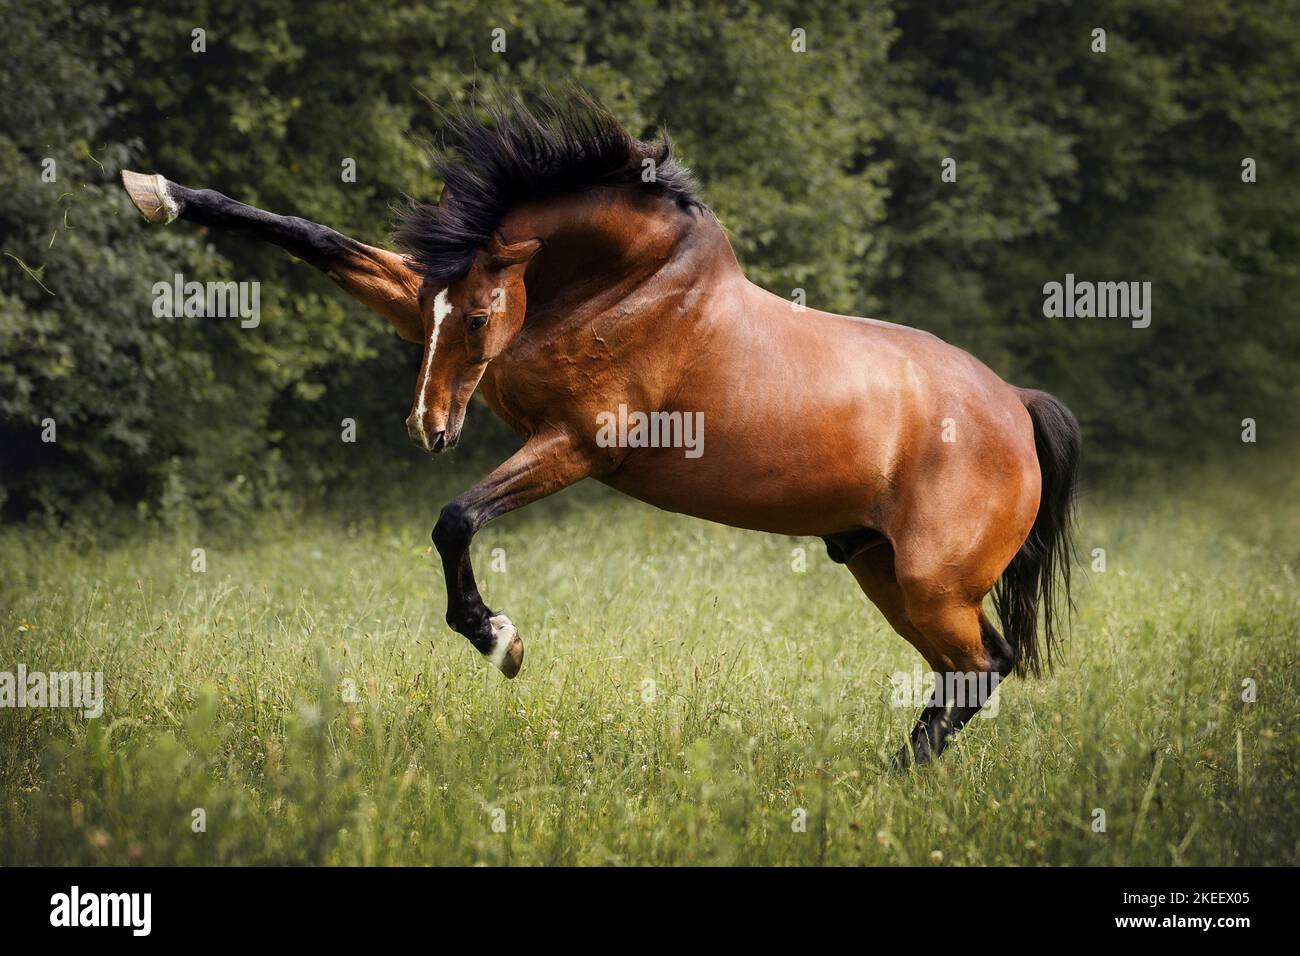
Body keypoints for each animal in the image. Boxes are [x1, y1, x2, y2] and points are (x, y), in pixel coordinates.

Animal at [121, 93, 1080, 766]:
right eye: (435, 313)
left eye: (479, 318)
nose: (430, 427)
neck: (624, 286)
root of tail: (1015, 403)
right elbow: (314, 238)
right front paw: (158, 192)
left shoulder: (582, 443)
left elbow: (455, 519)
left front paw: (499, 641)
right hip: (882, 570)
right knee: (972, 670)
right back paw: (891, 774)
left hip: (930, 582)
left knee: (981, 669)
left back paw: (893, 777)